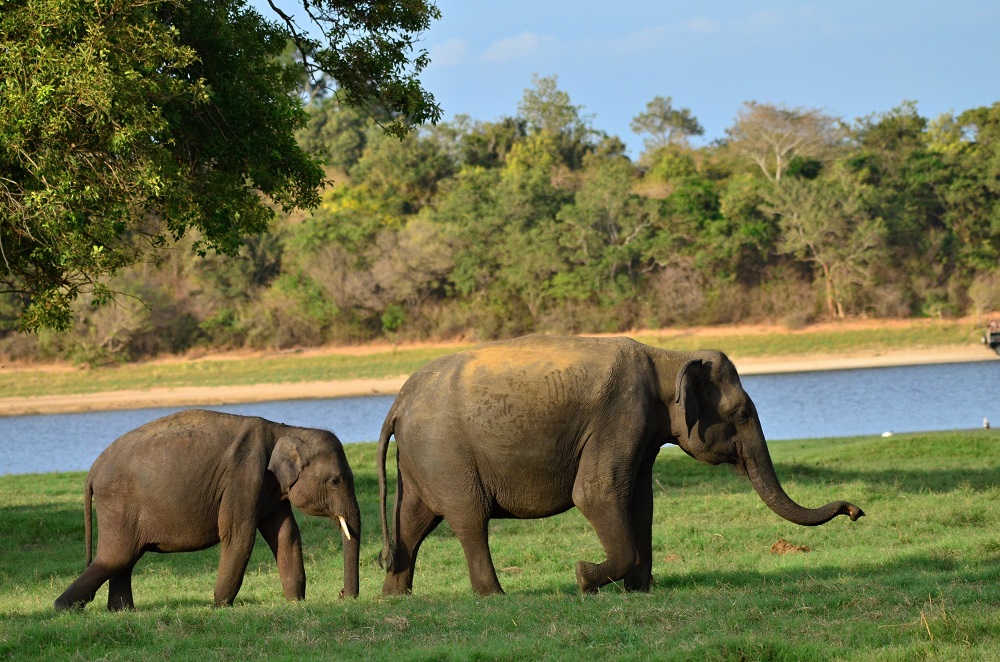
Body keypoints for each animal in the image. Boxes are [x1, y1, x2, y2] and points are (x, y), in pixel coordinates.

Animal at [54, 409, 360, 611]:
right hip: (118, 503)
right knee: (116, 556)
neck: (285, 429)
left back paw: (121, 611)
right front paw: (220, 607)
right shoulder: (244, 476)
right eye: (335, 481)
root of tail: (92, 471)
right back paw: (64, 608)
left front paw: (296, 603)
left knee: (125, 558)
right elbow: (238, 535)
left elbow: (286, 536)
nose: (342, 595)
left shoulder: (271, 489)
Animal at [377, 335, 864, 596]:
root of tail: (398, 402)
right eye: (742, 413)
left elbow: (639, 500)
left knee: (413, 523)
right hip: (445, 452)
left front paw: (639, 589)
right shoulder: (622, 412)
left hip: (423, 460)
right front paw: (583, 578)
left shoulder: (643, 430)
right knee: (469, 518)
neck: (667, 356)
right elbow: (595, 494)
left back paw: (395, 597)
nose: (855, 510)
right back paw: (495, 595)